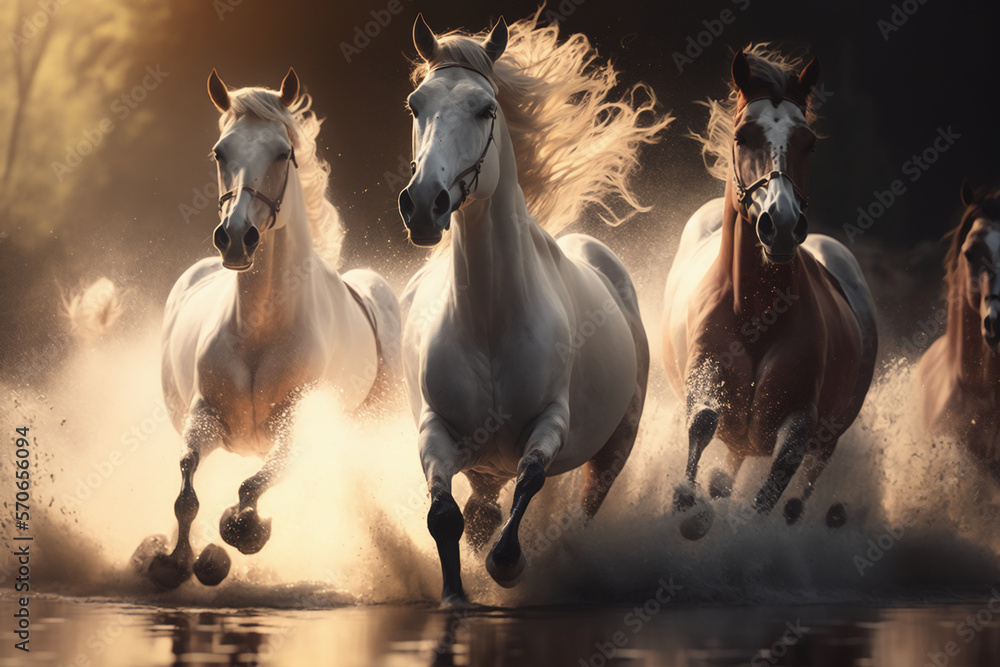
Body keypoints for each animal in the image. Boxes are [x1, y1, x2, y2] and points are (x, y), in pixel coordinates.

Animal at [147, 68, 401, 588]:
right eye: (219, 152)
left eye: (283, 153)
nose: (235, 237)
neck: (260, 328)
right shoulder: (204, 418)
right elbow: (186, 488)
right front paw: (174, 562)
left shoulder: (294, 425)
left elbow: (253, 487)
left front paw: (235, 540)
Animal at [397, 13, 670, 605]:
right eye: (415, 105)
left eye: (486, 108)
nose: (423, 204)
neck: (489, 322)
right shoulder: (437, 431)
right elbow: (445, 517)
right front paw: (455, 595)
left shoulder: (550, 423)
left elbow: (531, 479)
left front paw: (507, 564)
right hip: (484, 464)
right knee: (480, 508)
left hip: (616, 446)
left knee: (581, 507)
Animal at [662, 45, 878, 540]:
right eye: (743, 136)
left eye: (809, 142)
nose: (780, 224)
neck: (758, 311)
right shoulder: (703, 376)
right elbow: (702, 420)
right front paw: (687, 504)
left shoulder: (799, 416)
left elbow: (778, 478)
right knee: (731, 461)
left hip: (832, 433)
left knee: (803, 484)